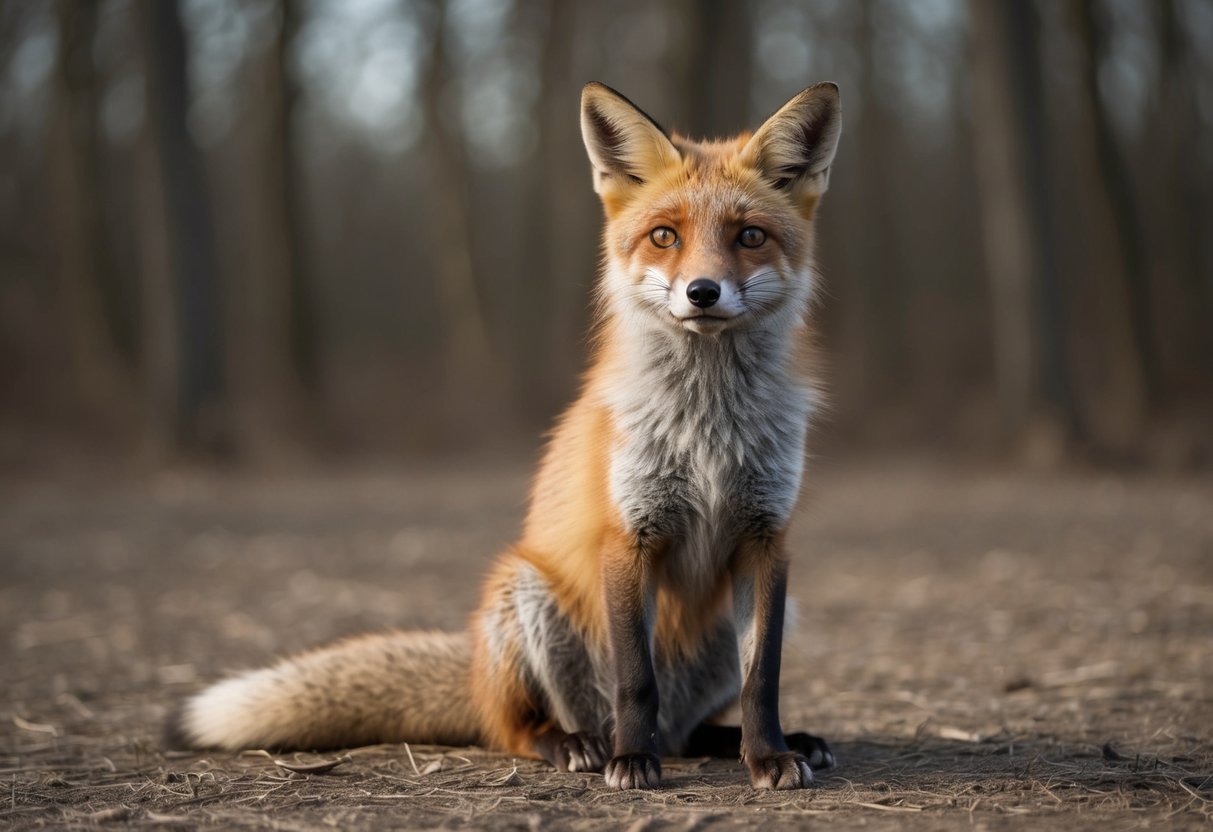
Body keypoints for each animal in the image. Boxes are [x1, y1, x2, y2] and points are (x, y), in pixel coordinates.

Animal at [167, 81, 843, 791]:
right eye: (665, 235)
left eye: (750, 236)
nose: (703, 292)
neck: (708, 429)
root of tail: (475, 679)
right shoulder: (627, 537)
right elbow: (636, 680)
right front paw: (633, 762)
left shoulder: (765, 541)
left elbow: (761, 680)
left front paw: (769, 755)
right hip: (522, 594)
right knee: (528, 729)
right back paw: (583, 744)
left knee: (687, 733)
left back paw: (741, 742)